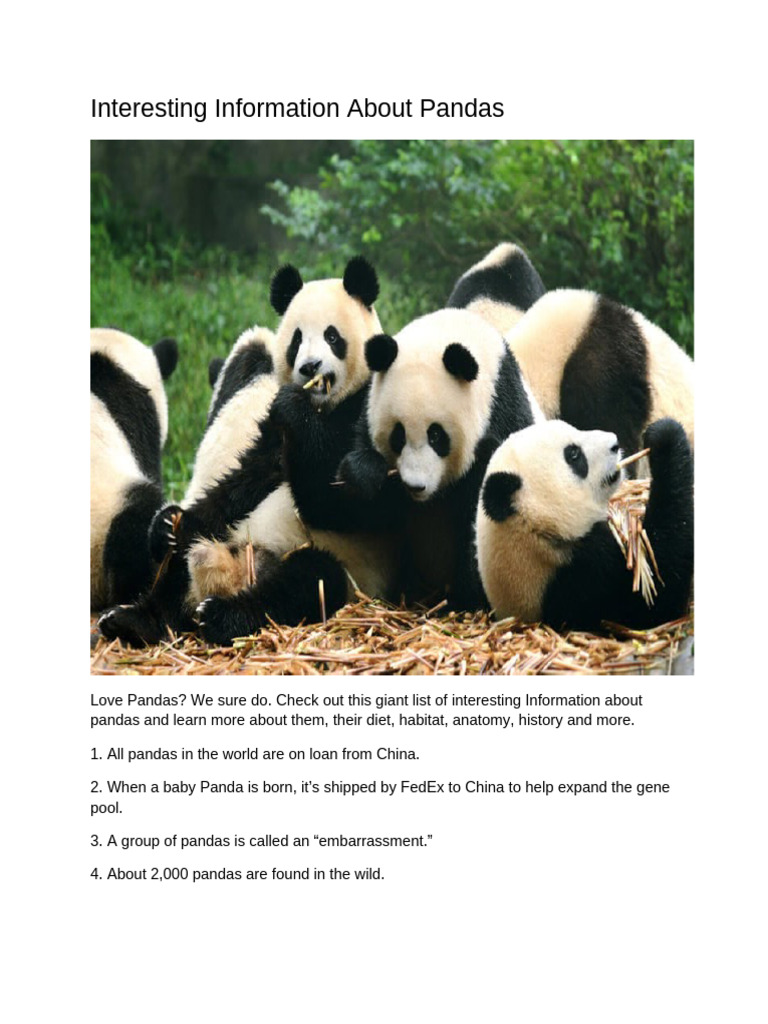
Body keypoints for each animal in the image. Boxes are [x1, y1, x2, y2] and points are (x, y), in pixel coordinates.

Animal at [338, 307, 542, 610]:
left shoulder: (503, 411)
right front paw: (366, 474)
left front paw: (468, 596)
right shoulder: (368, 414)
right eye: (398, 435)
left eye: (436, 436)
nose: (415, 486)